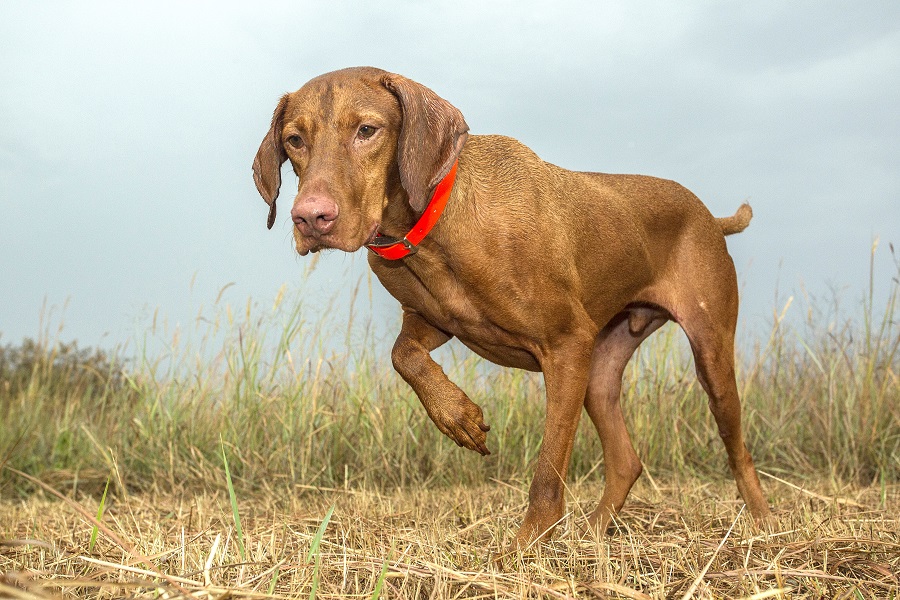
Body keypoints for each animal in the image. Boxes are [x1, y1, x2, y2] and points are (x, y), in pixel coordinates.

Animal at [250, 65, 768, 548]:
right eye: (295, 140)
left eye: (366, 130)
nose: (310, 218)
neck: (435, 229)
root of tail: (710, 216)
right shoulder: (434, 322)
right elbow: (403, 356)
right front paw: (456, 416)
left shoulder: (566, 345)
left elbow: (547, 472)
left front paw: (524, 548)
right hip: (600, 373)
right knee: (626, 461)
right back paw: (593, 534)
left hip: (709, 354)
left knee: (737, 449)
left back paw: (763, 525)